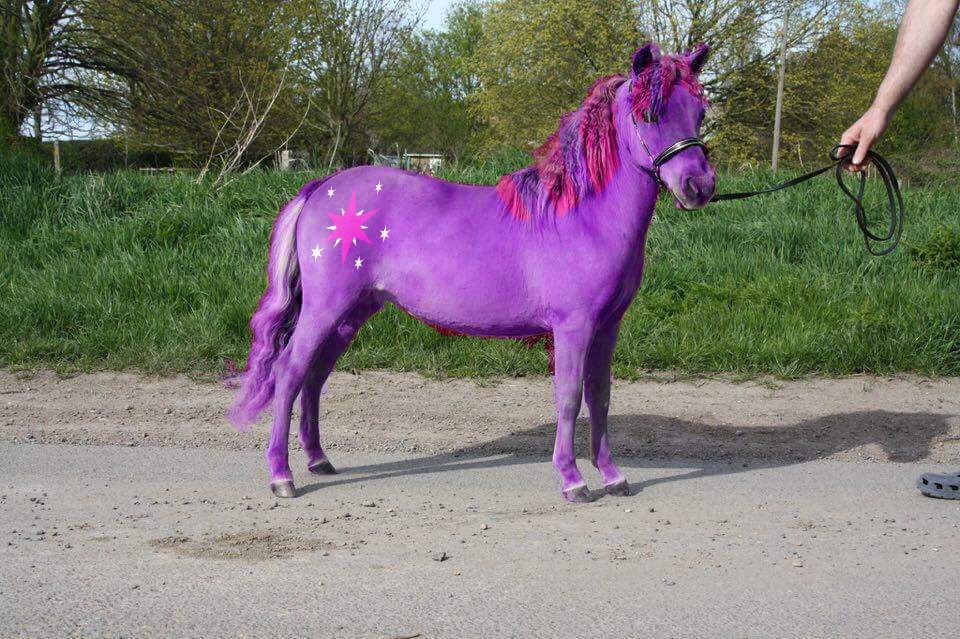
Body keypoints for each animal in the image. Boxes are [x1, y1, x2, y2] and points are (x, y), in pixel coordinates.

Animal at [226, 42, 716, 502]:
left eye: (700, 111)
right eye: (650, 113)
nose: (699, 186)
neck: (583, 215)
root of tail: (322, 187)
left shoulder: (608, 326)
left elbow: (600, 396)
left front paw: (612, 476)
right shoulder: (573, 326)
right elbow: (569, 397)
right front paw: (573, 479)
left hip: (352, 313)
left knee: (314, 376)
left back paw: (318, 459)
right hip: (325, 309)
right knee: (289, 372)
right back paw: (282, 475)